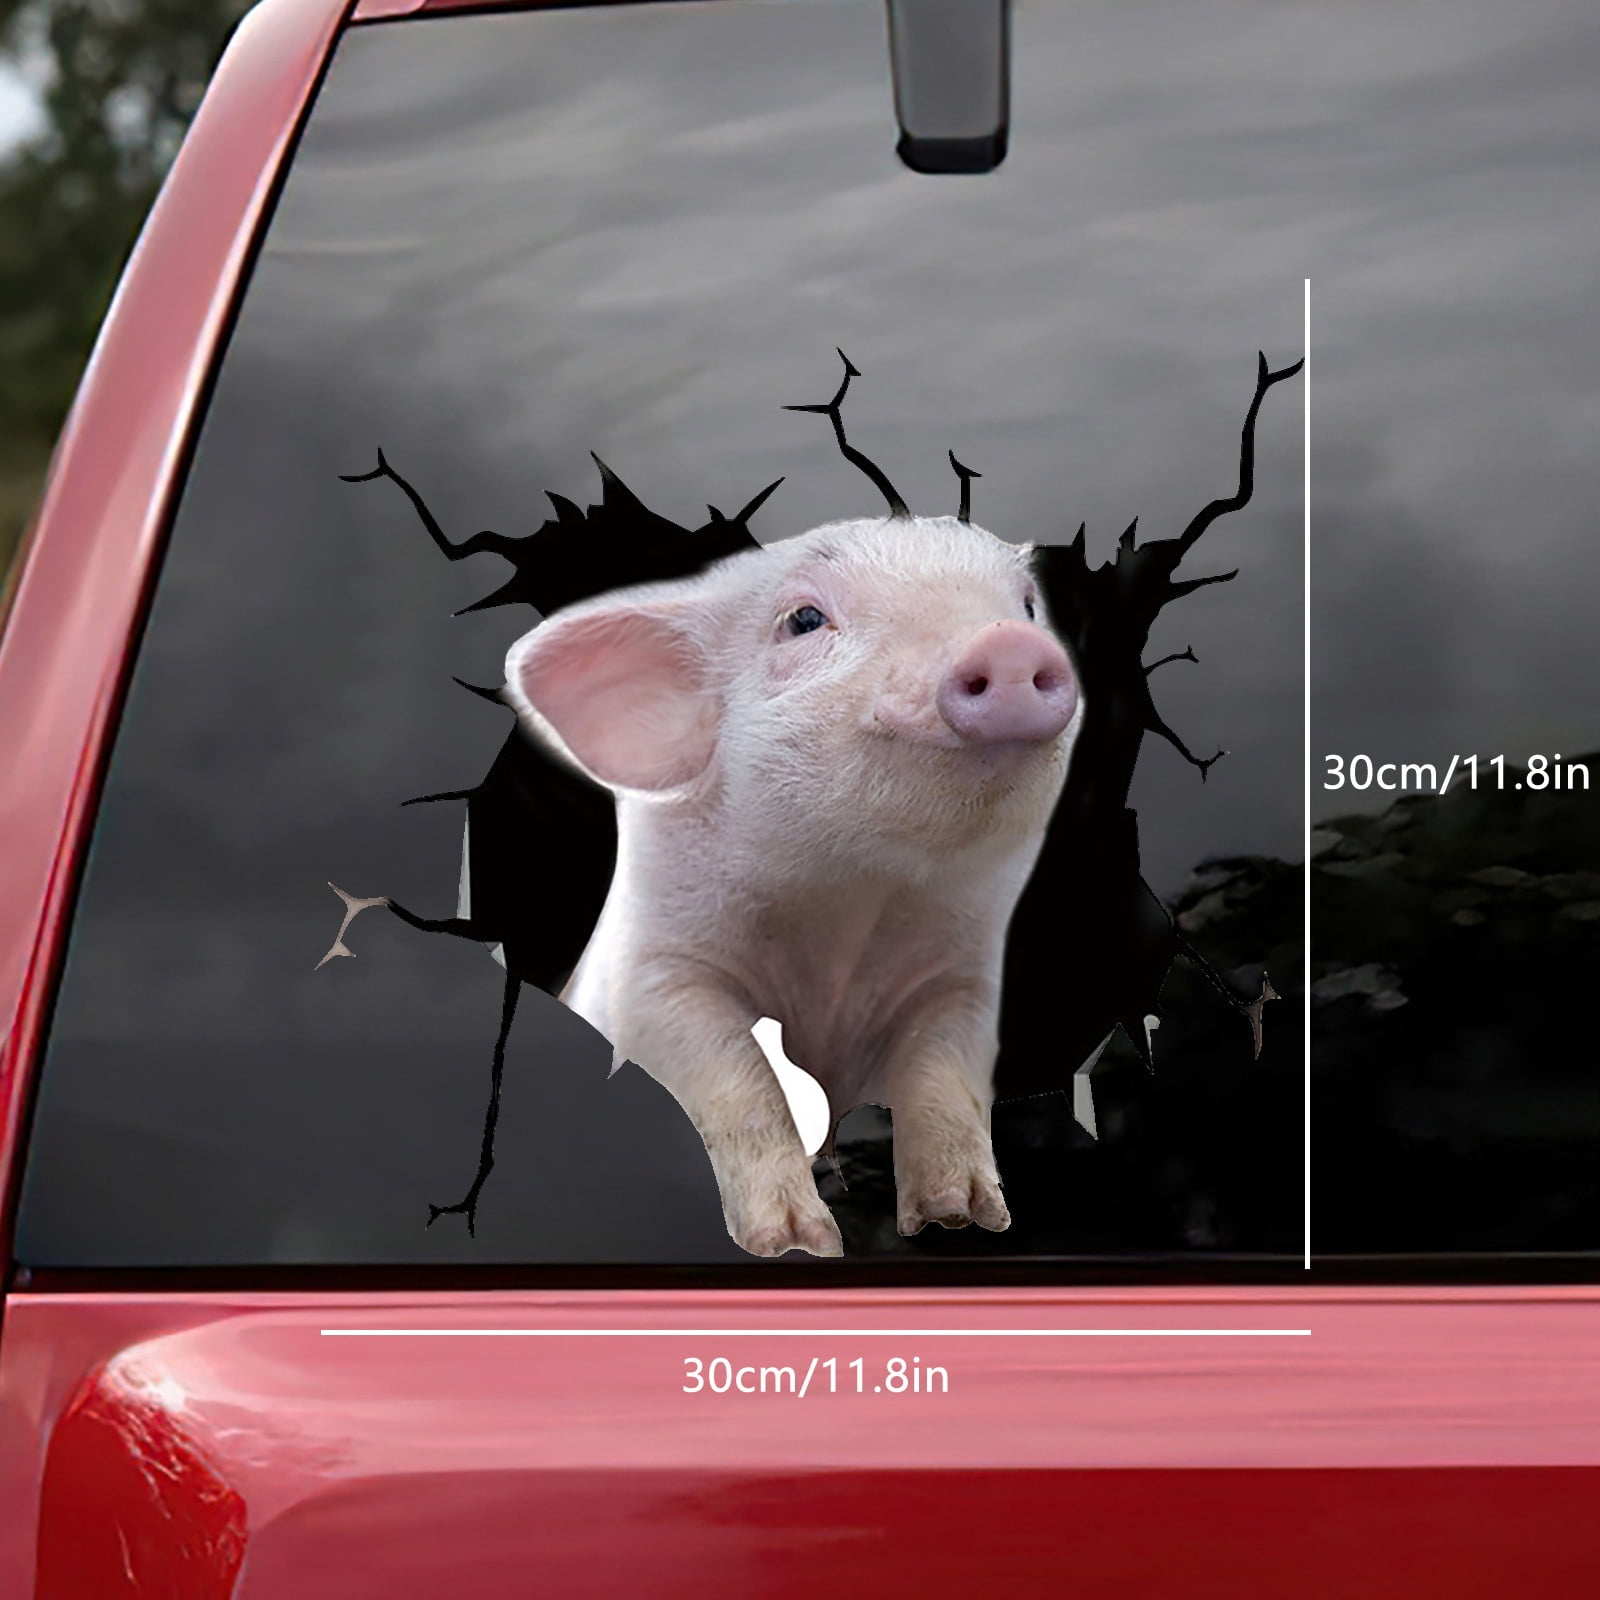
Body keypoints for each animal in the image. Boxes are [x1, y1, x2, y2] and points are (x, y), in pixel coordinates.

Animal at [504, 512, 1084, 1257]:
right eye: (804, 620)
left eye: (1029, 606)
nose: (1009, 640)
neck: (849, 910)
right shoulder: (651, 975)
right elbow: (740, 1073)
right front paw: (797, 1243)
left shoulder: (963, 983)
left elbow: (944, 1076)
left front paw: (962, 1216)